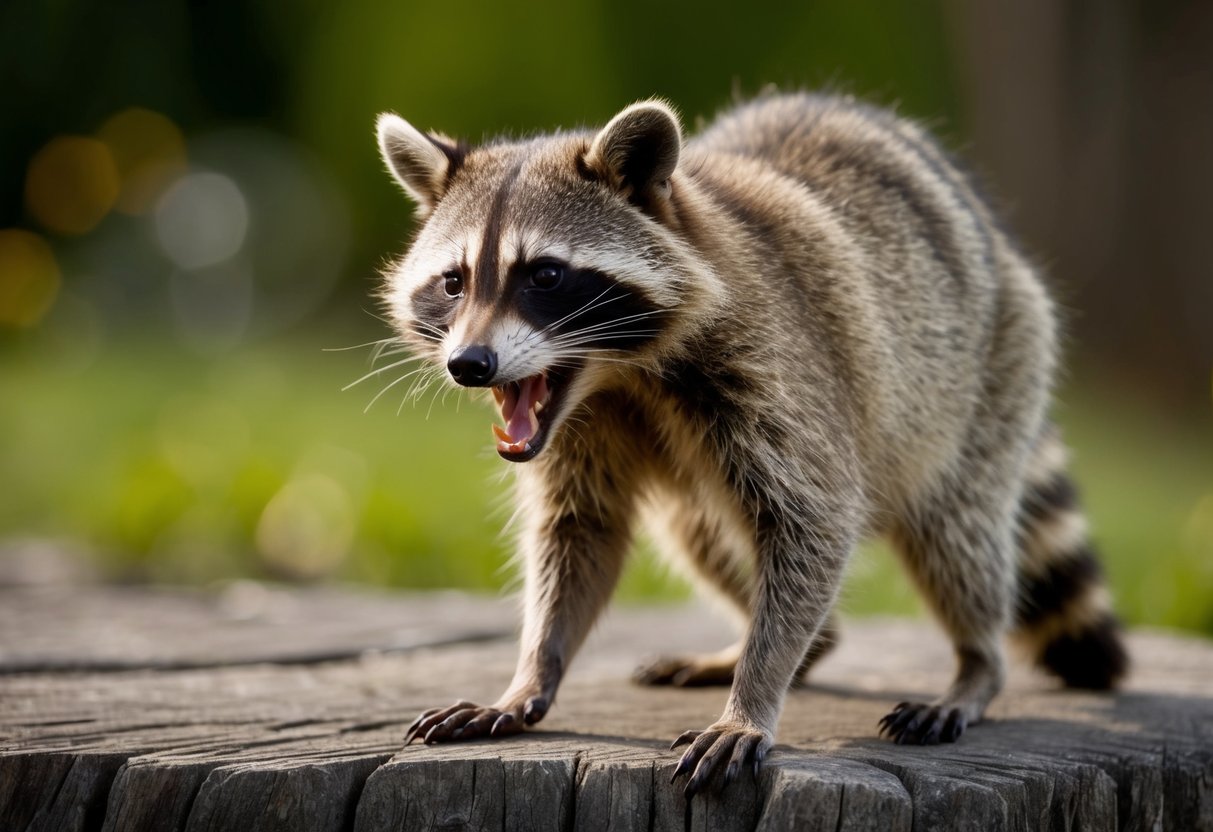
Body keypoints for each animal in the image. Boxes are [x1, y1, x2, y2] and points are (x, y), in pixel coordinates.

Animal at [376, 93, 1128, 796]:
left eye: (546, 275)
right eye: (453, 281)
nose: (469, 364)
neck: (618, 372)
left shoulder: (775, 361)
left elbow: (814, 522)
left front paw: (753, 698)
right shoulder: (582, 429)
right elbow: (579, 531)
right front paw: (531, 675)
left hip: (995, 372)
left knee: (956, 538)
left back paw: (974, 666)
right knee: (698, 532)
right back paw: (792, 645)